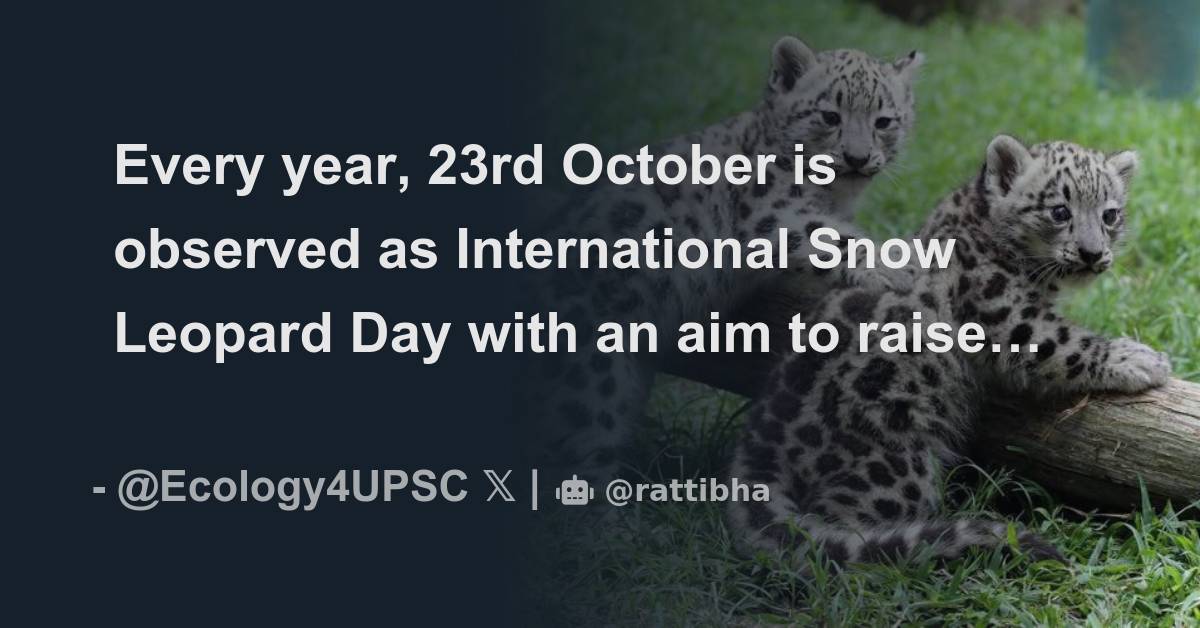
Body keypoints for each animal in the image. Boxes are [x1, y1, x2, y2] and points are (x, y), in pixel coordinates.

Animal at [526, 36, 925, 478]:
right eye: (829, 115)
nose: (857, 157)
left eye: (884, 121)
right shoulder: (772, 211)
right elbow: (829, 235)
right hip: (590, 381)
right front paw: (897, 265)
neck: (837, 196)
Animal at [728, 135, 1171, 567]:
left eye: (1110, 215)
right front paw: (1139, 359)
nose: (1093, 254)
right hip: (891, 466)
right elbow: (1065, 343)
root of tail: (759, 442)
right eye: (1060, 211)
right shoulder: (1008, 318)